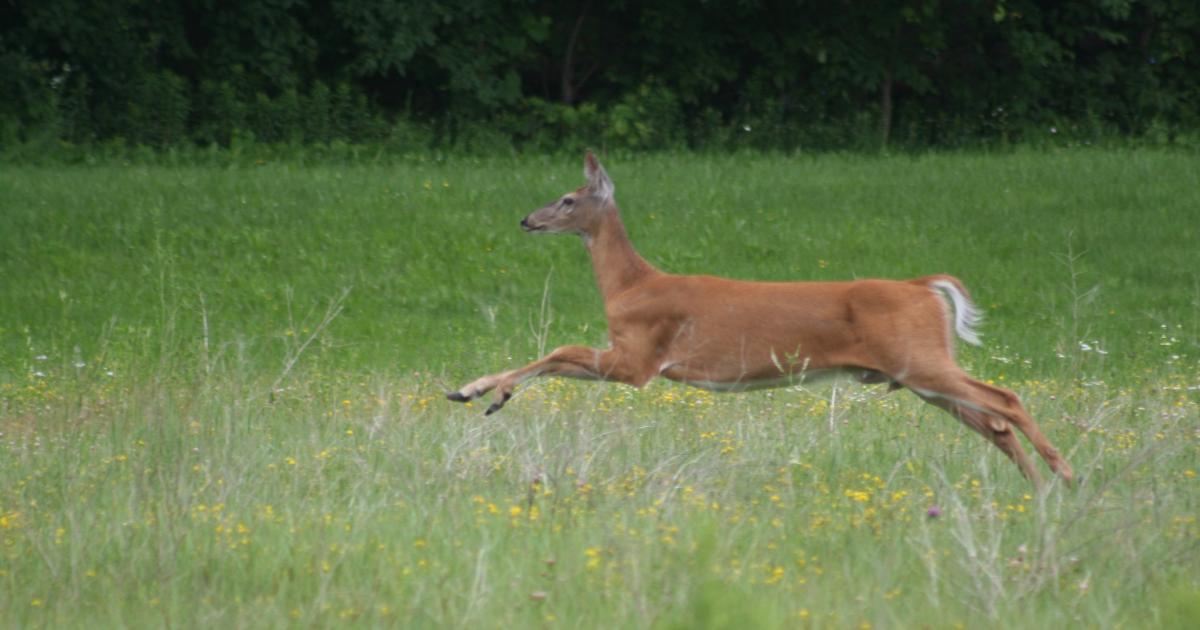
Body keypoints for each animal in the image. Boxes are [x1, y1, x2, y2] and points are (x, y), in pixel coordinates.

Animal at [447, 151, 1074, 488]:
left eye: (569, 199)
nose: (527, 220)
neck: (631, 285)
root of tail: (922, 286)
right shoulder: (631, 357)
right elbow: (558, 358)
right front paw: (479, 391)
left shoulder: (640, 356)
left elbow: (559, 351)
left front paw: (482, 391)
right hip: (915, 374)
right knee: (993, 422)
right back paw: (1037, 491)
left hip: (920, 361)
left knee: (1007, 399)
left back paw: (1065, 475)